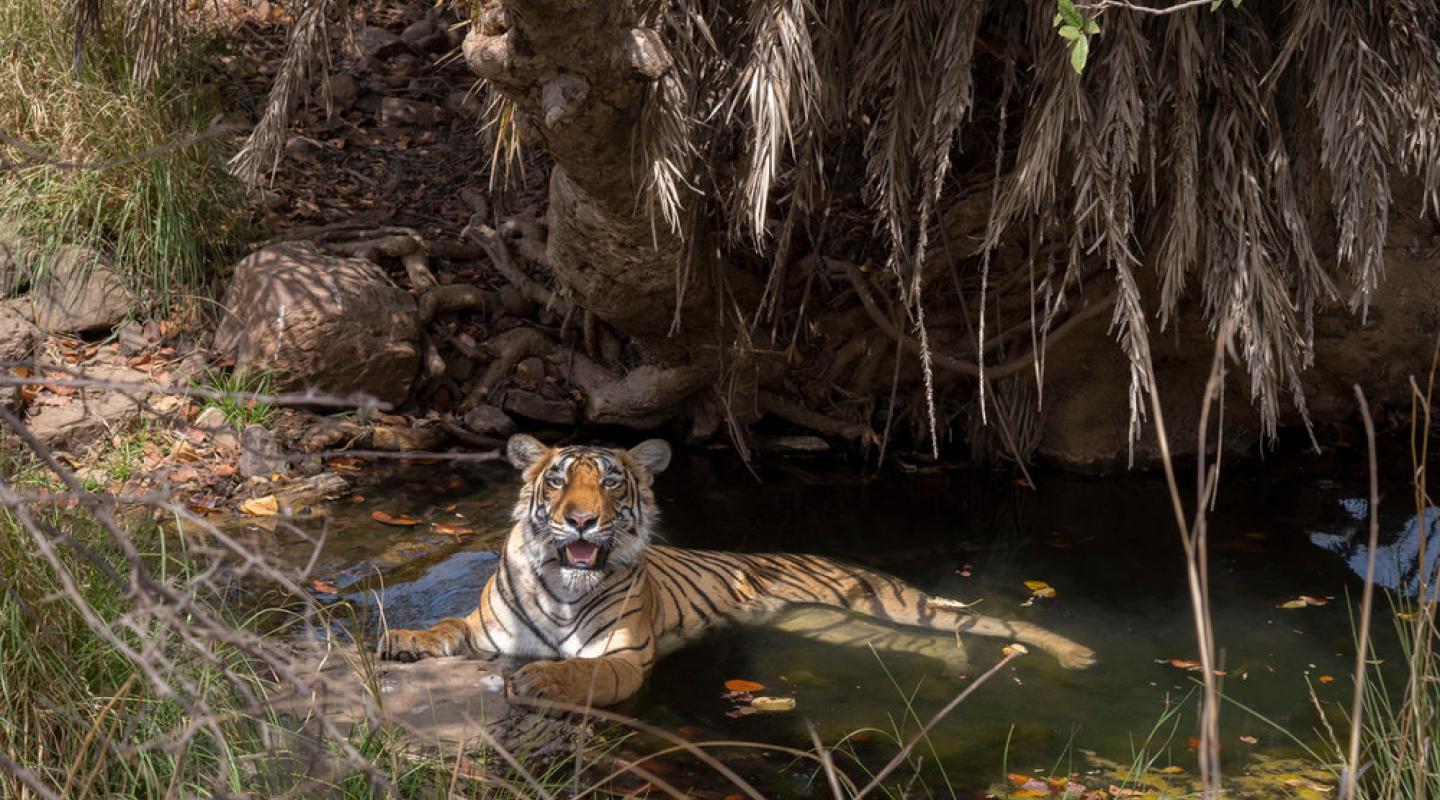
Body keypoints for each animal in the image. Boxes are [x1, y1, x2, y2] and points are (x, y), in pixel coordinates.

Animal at [379, 434, 1097, 706]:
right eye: (557, 481)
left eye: (610, 483)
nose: (581, 520)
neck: (562, 585)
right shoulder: (486, 630)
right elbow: (445, 628)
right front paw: (399, 640)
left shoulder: (624, 656)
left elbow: (584, 672)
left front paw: (543, 681)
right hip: (840, 628)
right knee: (931, 643)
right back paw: (954, 668)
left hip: (891, 604)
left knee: (994, 623)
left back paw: (1077, 654)